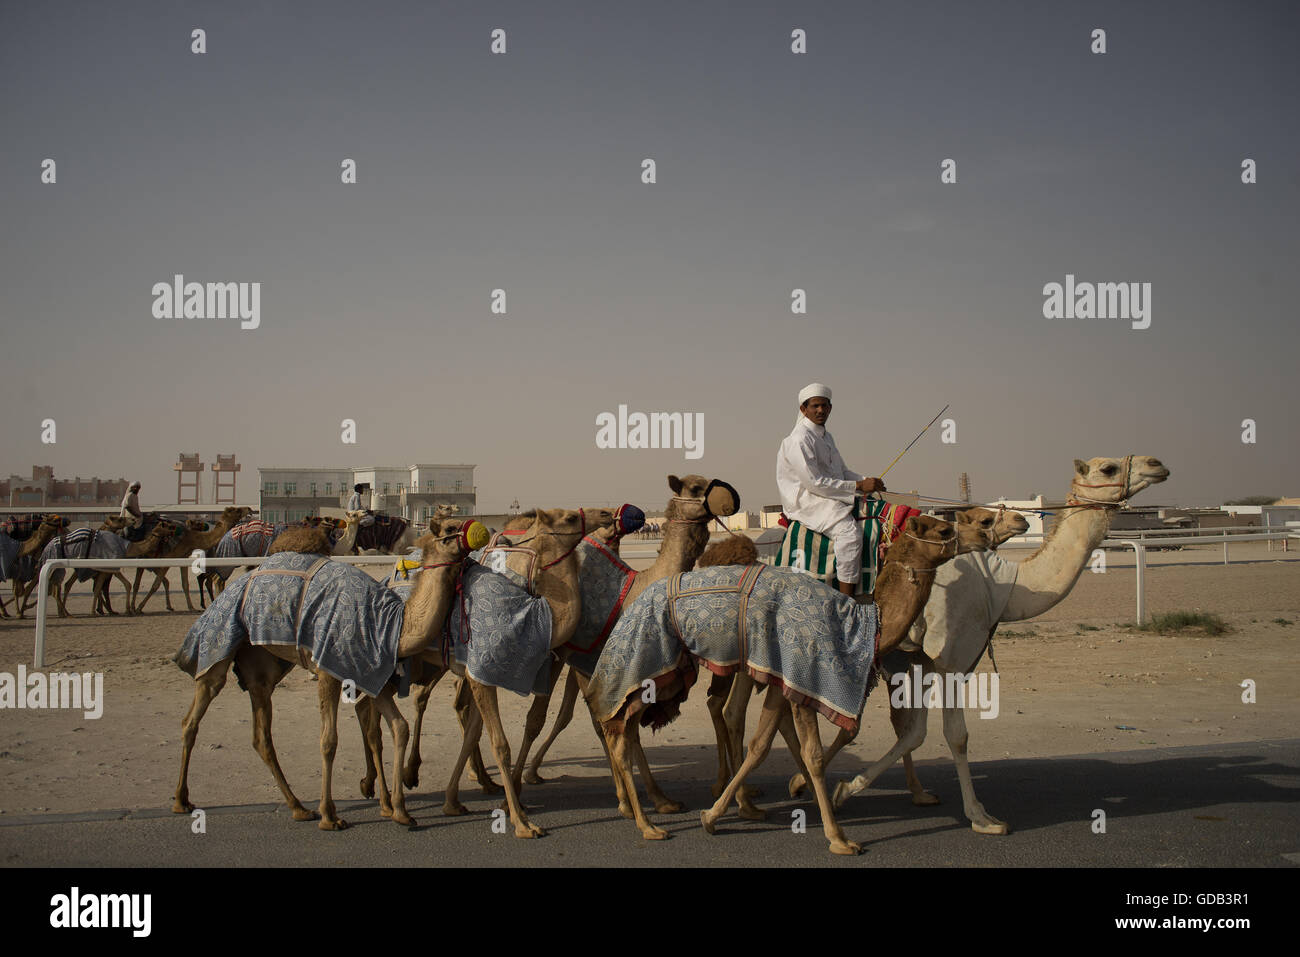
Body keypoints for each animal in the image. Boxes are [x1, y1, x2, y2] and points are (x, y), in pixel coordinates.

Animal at [172, 517, 488, 830]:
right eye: (449, 528)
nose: (481, 531)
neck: (390, 625)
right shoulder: (329, 669)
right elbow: (329, 741)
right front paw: (330, 815)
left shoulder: (369, 672)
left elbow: (394, 728)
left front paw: (395, 808)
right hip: (220, 640)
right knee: (195, 713)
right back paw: (181, 800)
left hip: (261, 665)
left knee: (261, 735)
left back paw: (299, 807)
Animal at [590, 513, 959, 853]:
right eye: (944, 529)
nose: (970, 534)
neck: (860, 623)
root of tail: (633, 604)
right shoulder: (805, 677)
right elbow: (812, 753)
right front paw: (838, 837)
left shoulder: (783, 680)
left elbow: (762, 743)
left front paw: (714, 815)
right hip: (650, 666)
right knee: (620, 728)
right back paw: (648, 824)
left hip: (672, 673)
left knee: (626, 728)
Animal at [832, 454, 1169, 833]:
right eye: (1107, 468)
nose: (1156, 464)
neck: (1002, 586)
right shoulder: (952, 655)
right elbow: (956, 735)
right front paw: (981, 816)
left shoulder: (924, 658)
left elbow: (913, 731)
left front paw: (846, 789)